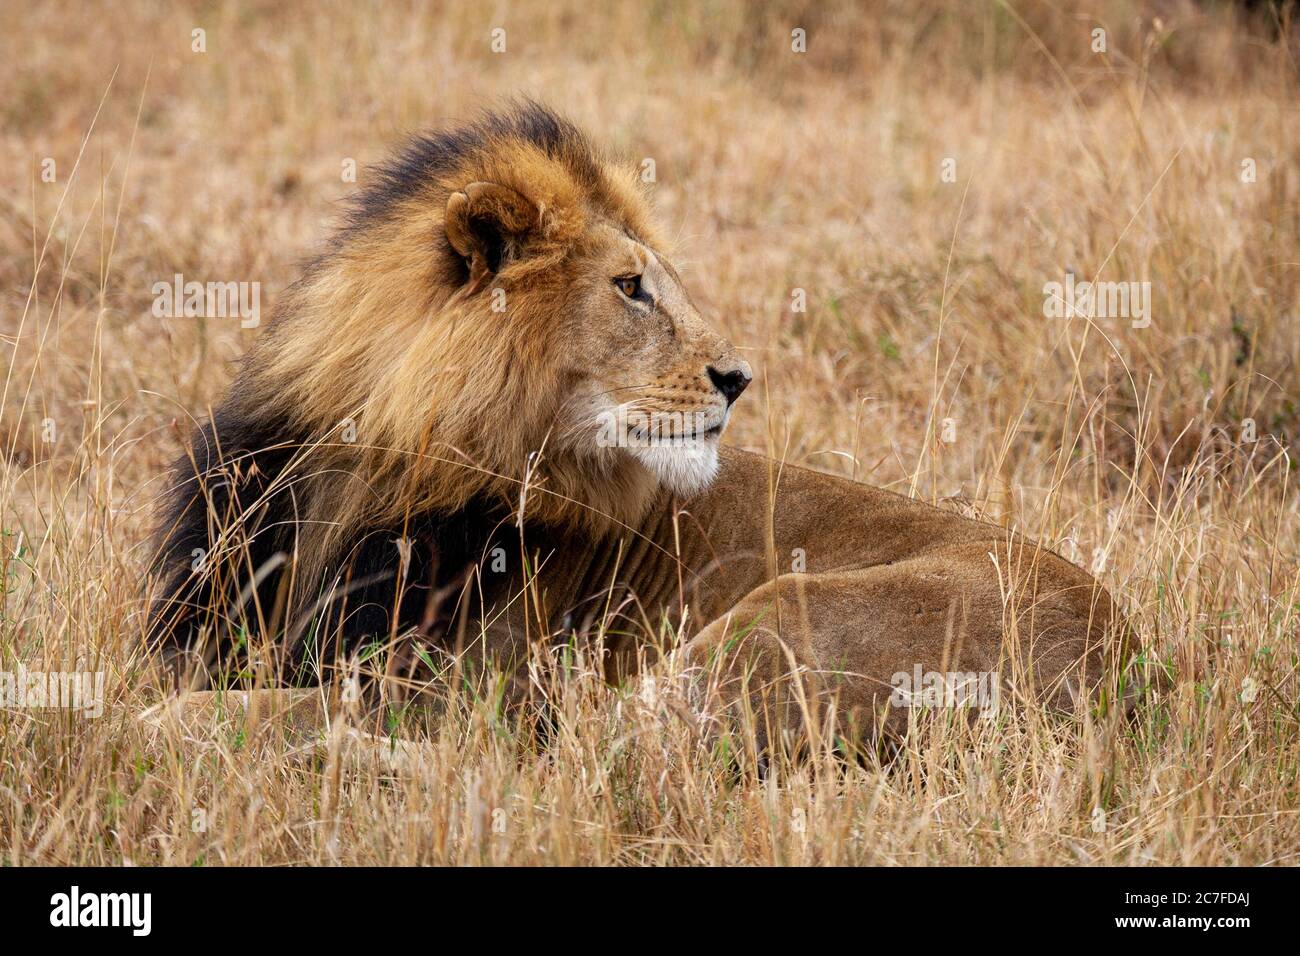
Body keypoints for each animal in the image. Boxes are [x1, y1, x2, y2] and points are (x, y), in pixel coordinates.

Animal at [147, 101, 1131, 749]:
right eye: (631, 286)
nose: (739, 378)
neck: (383, 466)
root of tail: (1127, 665)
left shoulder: (458, 678)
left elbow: (310, 704)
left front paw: (170, 720)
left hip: (778, 615)